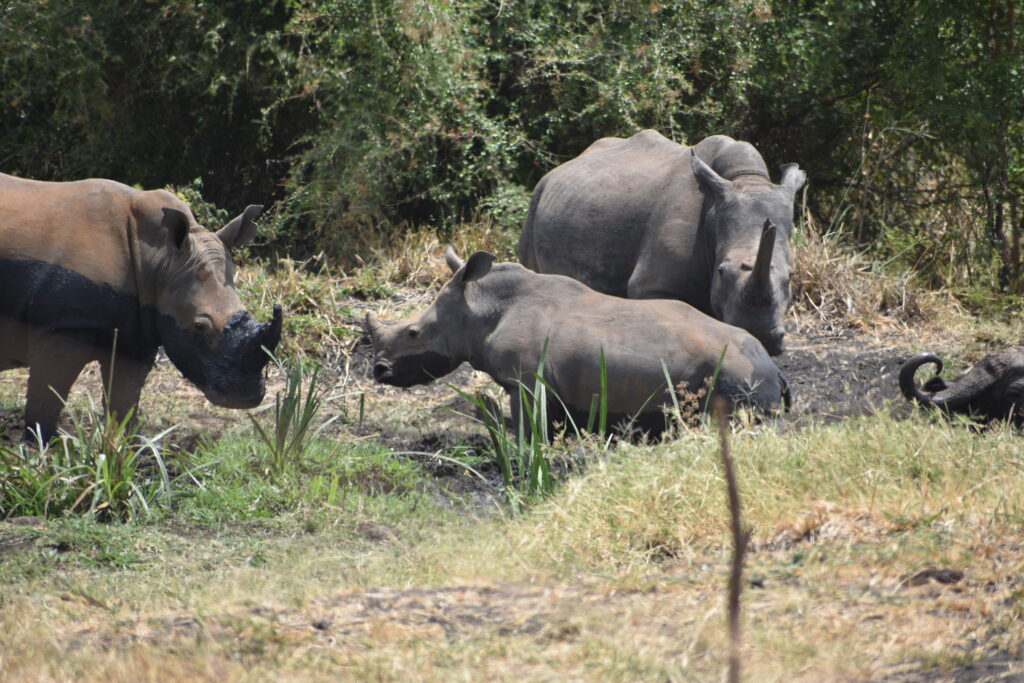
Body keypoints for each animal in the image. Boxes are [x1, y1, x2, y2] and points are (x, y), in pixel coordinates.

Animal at [0, 173, 283, 441]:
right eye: (200, 326)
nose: (246, 397)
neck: (160, 259)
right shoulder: (64, 325)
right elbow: (47, 398)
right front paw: (41, 448)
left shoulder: (138, 325)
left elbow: (124, 401)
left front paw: (123, 449)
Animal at [365, 248, 790, 436]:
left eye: (413, 333)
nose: (379, 370)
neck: (479, 307)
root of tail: (775, 371)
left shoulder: (525, 381)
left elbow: (528, 427)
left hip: (737, 372)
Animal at [518, 130, 806, 355]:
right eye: (722, 272)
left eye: (791, 276)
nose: (761, 337)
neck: (745, 179)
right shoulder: (653, 286)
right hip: (537, 197)